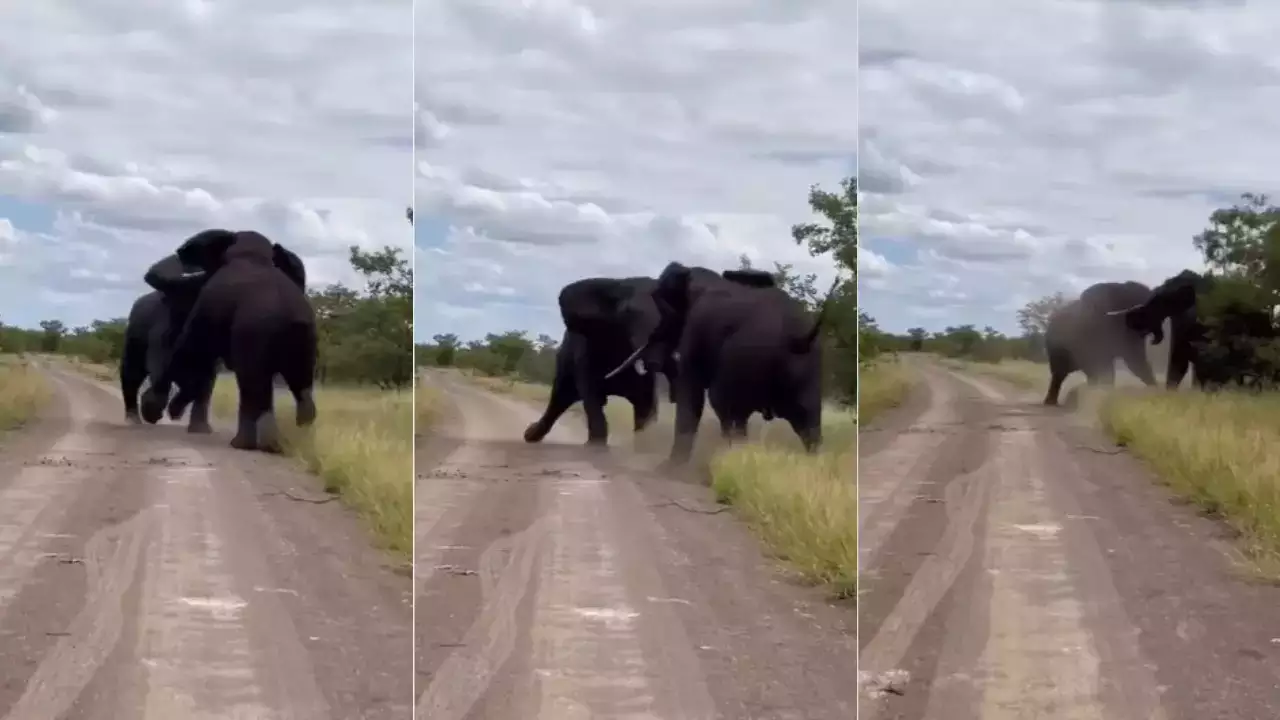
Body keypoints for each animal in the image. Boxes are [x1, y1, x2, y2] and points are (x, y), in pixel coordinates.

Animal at [139, 229, 317, 452]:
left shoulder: (209, 299)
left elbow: (193, 349)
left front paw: (166, 410)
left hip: (253, 333)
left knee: (252, 384)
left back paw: (248, 445)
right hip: (305, 338)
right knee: (301, 385)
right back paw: (293, 440)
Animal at [523, 275, 678, 447]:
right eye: (628, 313)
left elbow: (646, 403)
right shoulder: (587, 346)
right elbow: (591, 395)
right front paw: (594, 448)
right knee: (559, 397)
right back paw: (529, 435)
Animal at [614, 262, 835, 465]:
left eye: (660, 304)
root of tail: (797, 337)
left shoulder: (696, 327)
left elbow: (691, 391)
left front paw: (670, 469)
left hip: (745, 355)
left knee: (726, 406)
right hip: (808, 365)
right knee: (807, 420)